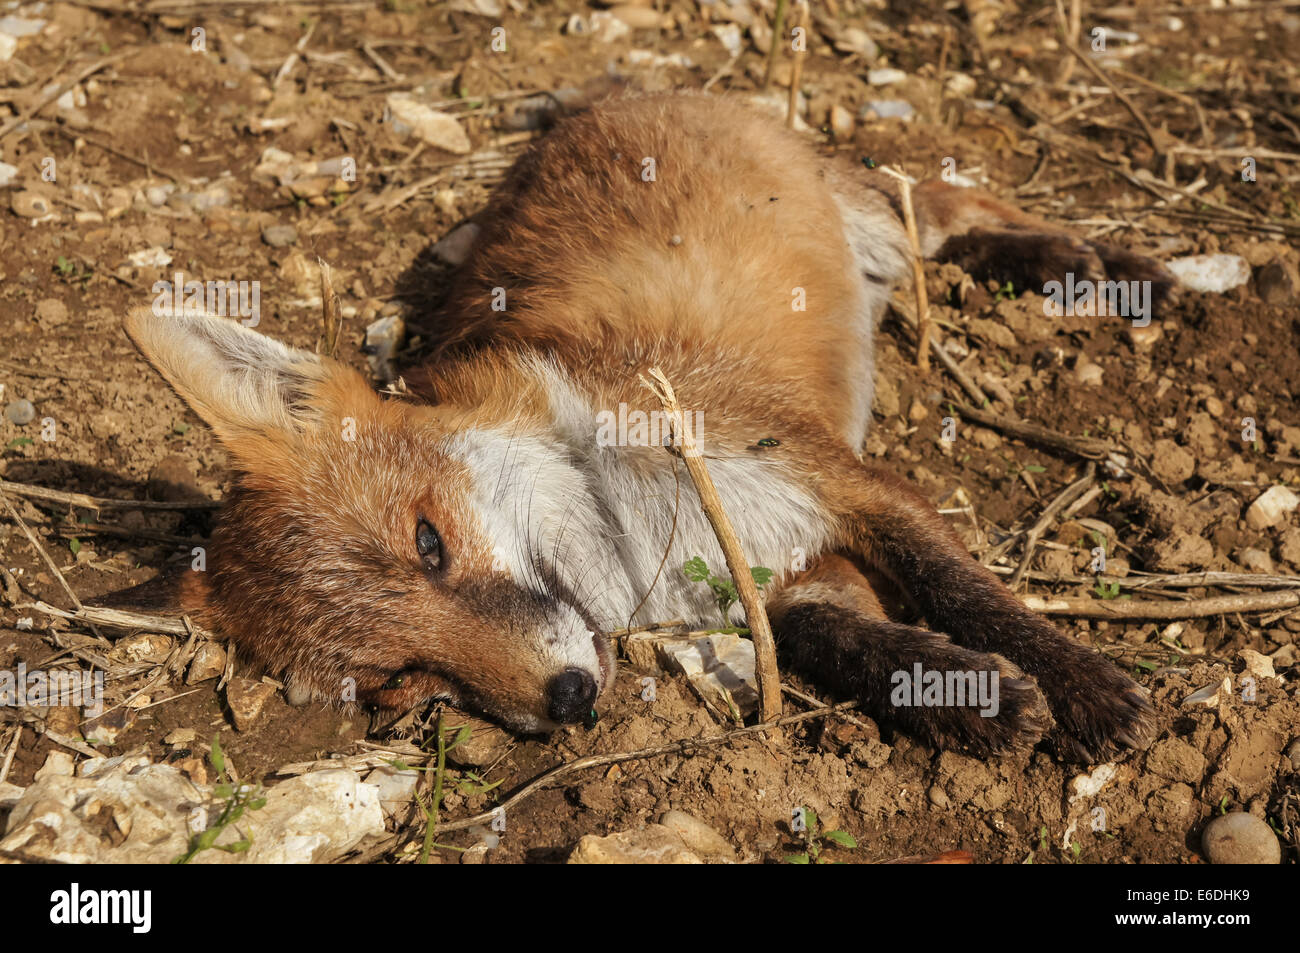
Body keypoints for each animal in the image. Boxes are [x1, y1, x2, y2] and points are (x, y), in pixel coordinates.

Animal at [117, 91, 1168, 763]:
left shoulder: (833, 474)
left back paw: (1101, 266)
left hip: (880, 215)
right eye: (400, 678)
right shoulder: (779, 573)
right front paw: (969, 700)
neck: (631, 541)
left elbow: (970, 595)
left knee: (956, 209)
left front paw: (1087, 690)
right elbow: (846, 644)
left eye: (429, 543)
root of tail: (611, 98)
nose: (569, 701)